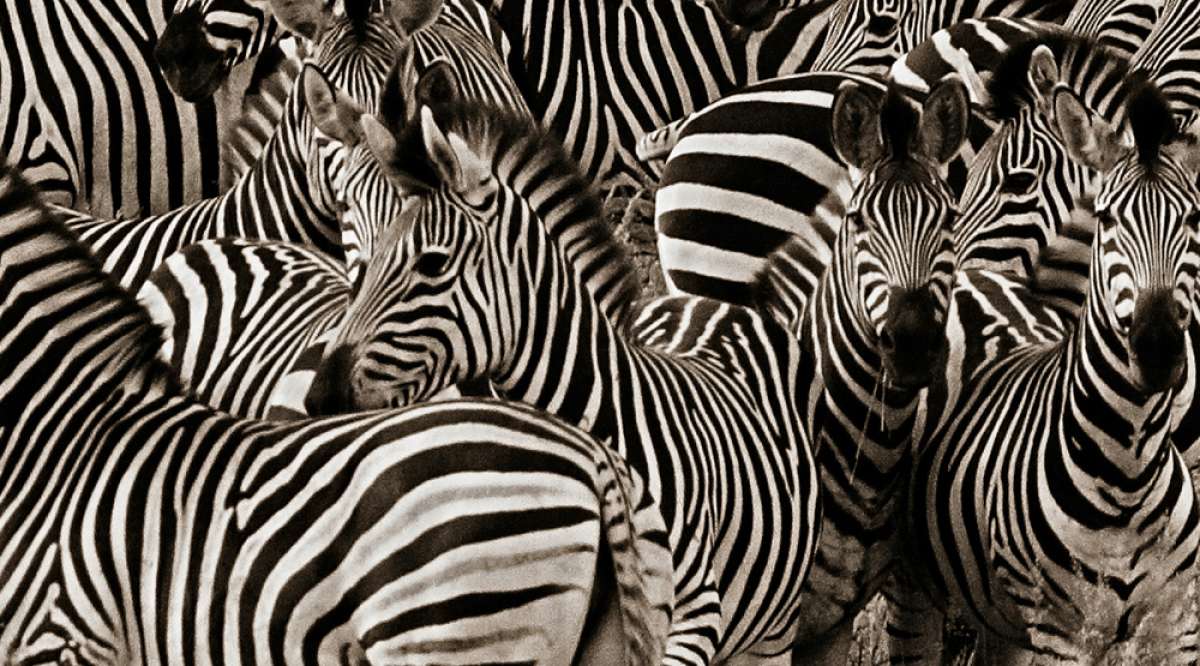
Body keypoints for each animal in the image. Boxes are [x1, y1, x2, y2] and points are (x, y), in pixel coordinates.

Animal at [301, 99, 821, 665]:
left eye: (433, 263)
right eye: (368, 261)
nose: (318, 396)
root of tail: (713, 304)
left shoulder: (695, 614)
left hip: (773, 631)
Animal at [900, 73, 1200, 662]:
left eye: (1194, 218)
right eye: (1107, 218)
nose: (1157, 348)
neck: (1129, 471)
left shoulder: (1177, 626)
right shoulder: (1061, 632)